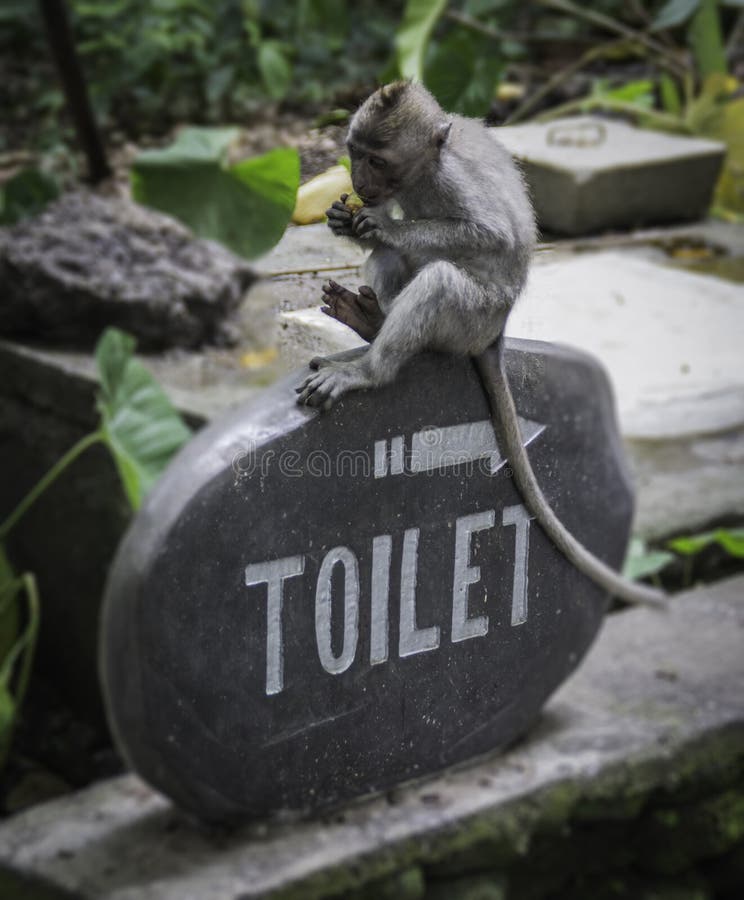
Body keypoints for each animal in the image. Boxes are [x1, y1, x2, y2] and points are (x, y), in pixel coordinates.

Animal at [296, 81, 665, 608]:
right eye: (355, 152)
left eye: (378, 160)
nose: (359, 179)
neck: (425, 170)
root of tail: (496, 334)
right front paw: (346, 222)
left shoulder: (452, 180)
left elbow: (492, 233)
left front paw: (383, 225)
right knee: (397, 261)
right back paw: (371, 323)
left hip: (471, 319)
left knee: (439, 280)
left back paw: (370, 368)